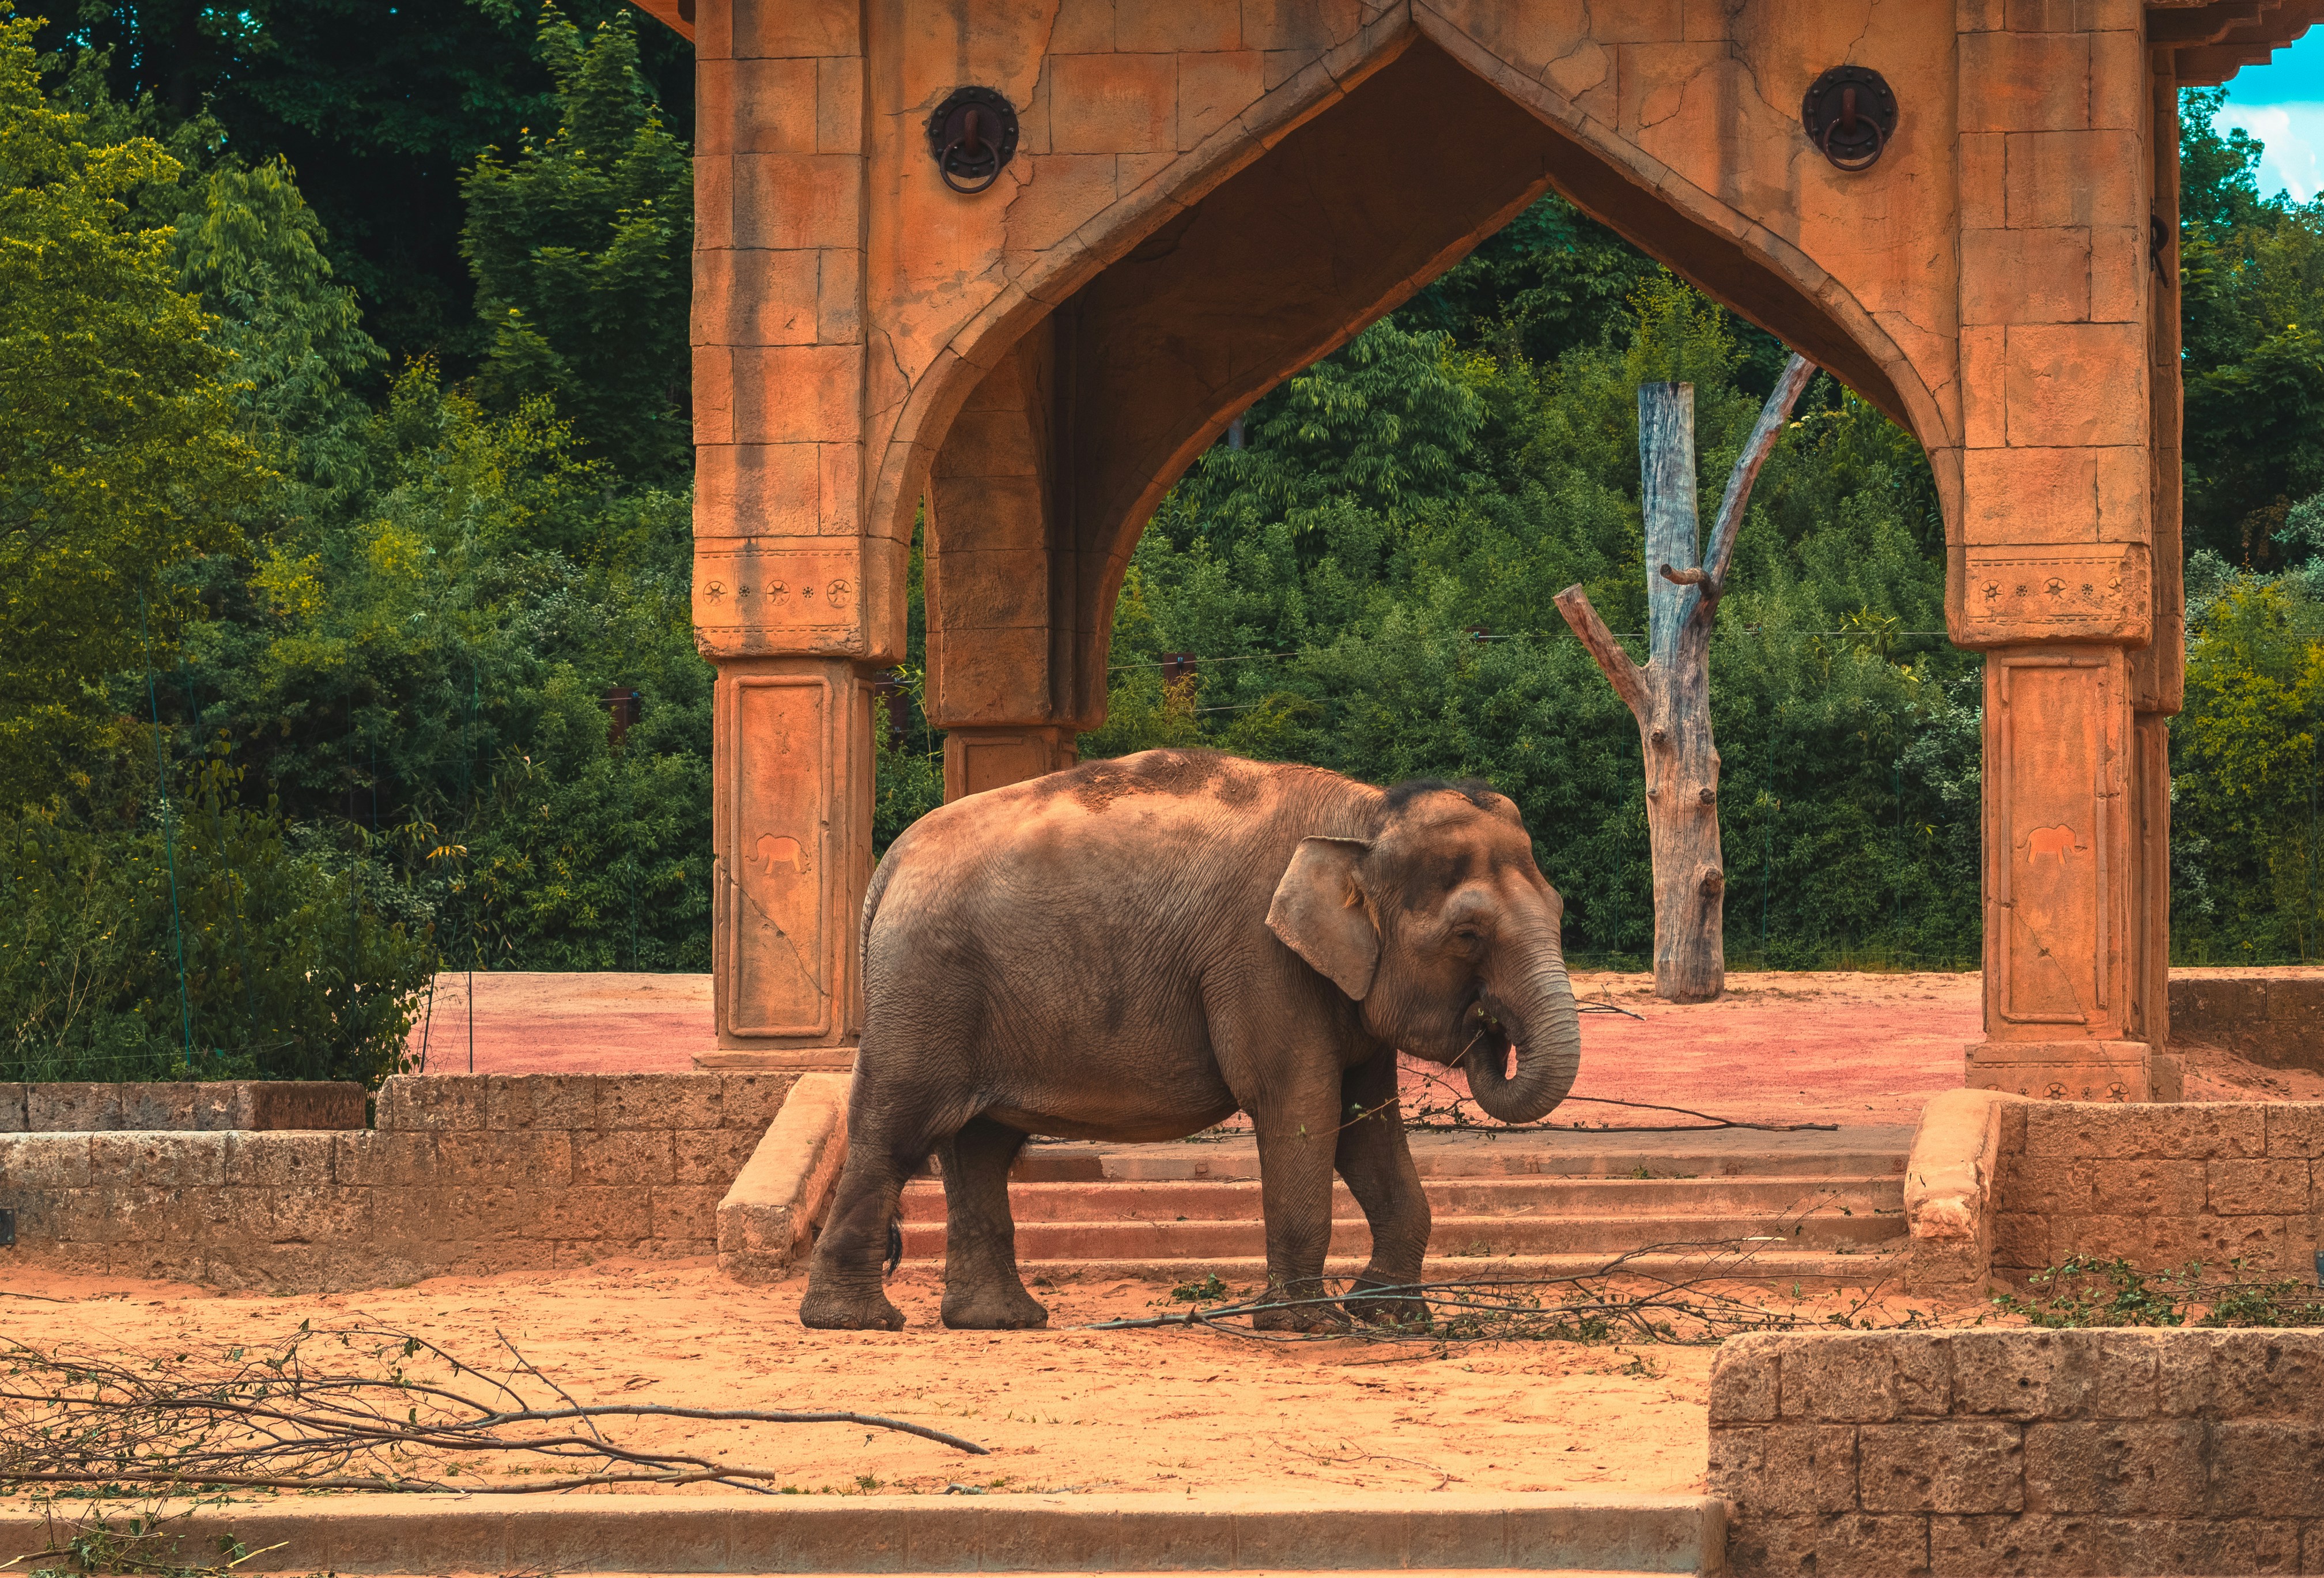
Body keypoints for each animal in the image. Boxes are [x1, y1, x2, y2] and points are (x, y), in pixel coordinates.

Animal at [797, 748, 1584, 1332]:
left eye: (1558, 909)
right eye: (1468, 934)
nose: (1488, 1027)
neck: (1363, 812)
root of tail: (890, 864)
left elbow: (1367, 1127)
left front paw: (1393, 1316)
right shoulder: (1259, 958)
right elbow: (1300, 1106)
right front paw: (1304, 1325)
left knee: (981, 1146)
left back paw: (1002, 1321)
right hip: (925, 985)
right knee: (897, 1130)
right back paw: (855, 1321)